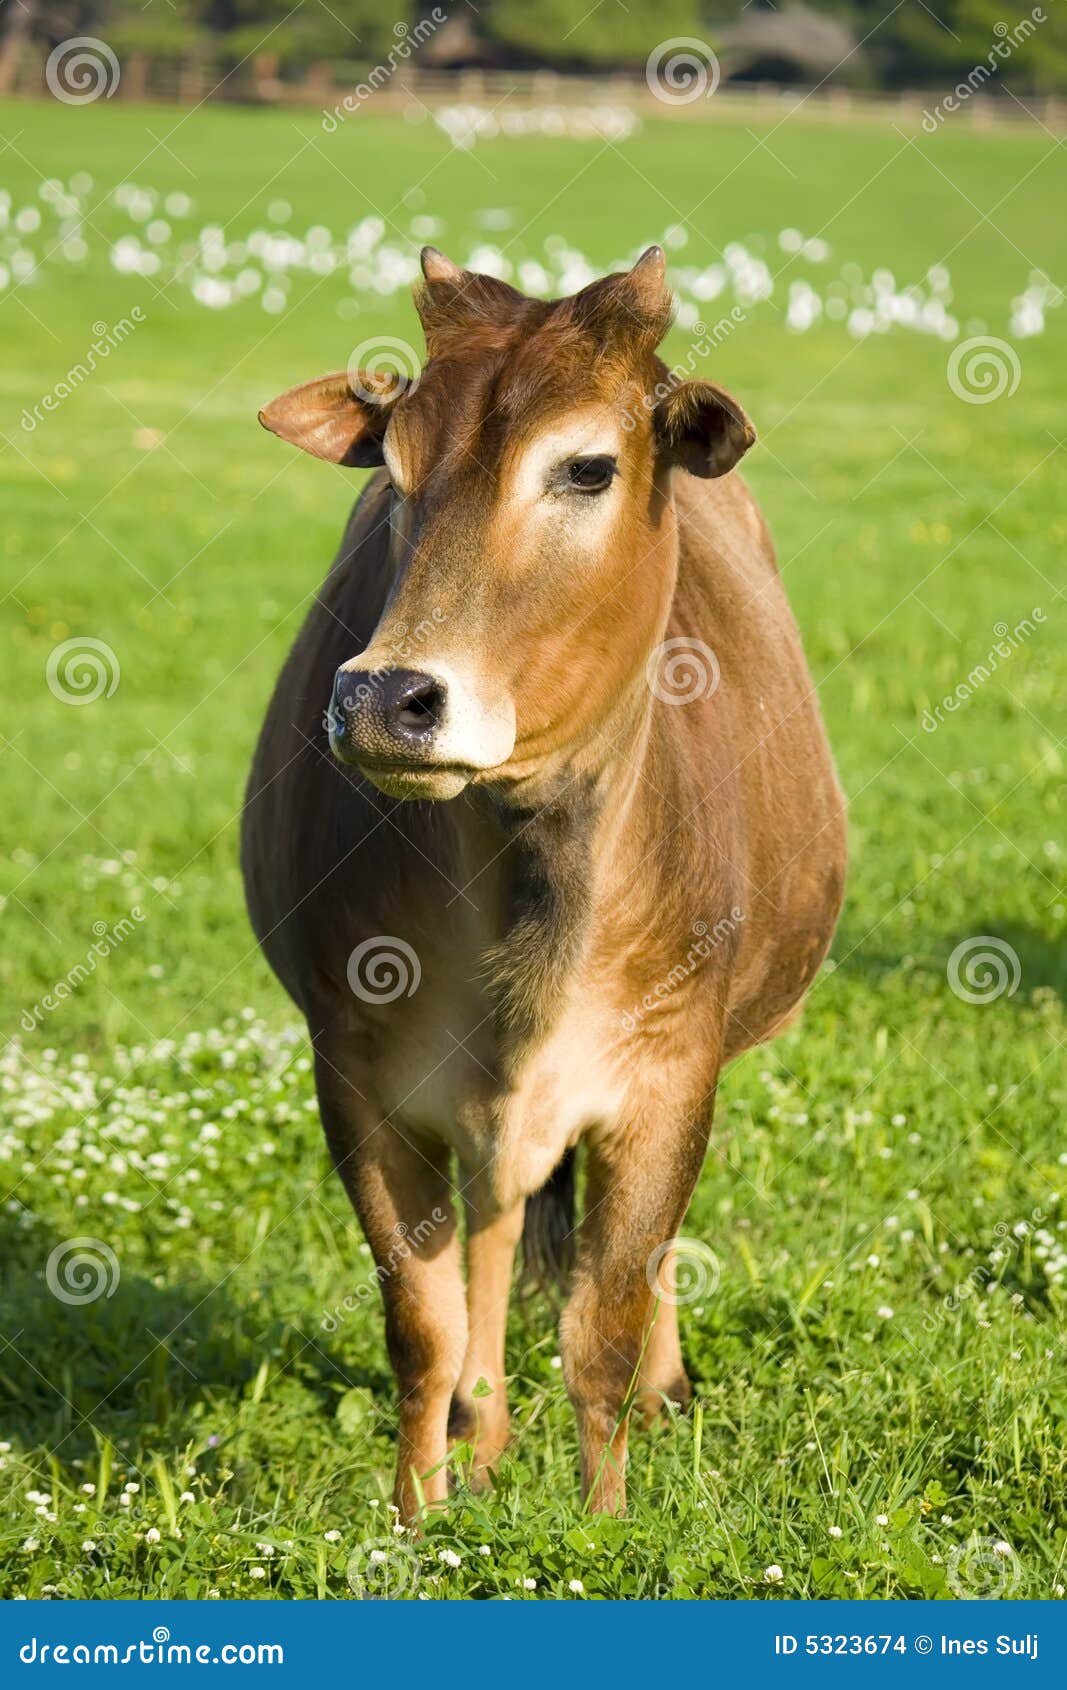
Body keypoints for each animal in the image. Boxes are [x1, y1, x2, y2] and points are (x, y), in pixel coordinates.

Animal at [242, 244, 846, 1521]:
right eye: (393, 472)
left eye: (586, 467)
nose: (386, 698)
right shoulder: (357, 1071)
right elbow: (421, 1321)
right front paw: (418, 1514)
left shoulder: (666, 1076)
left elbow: (600, 1327)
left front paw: (603, 1520)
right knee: (492, 1221)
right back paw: (482, 1431)